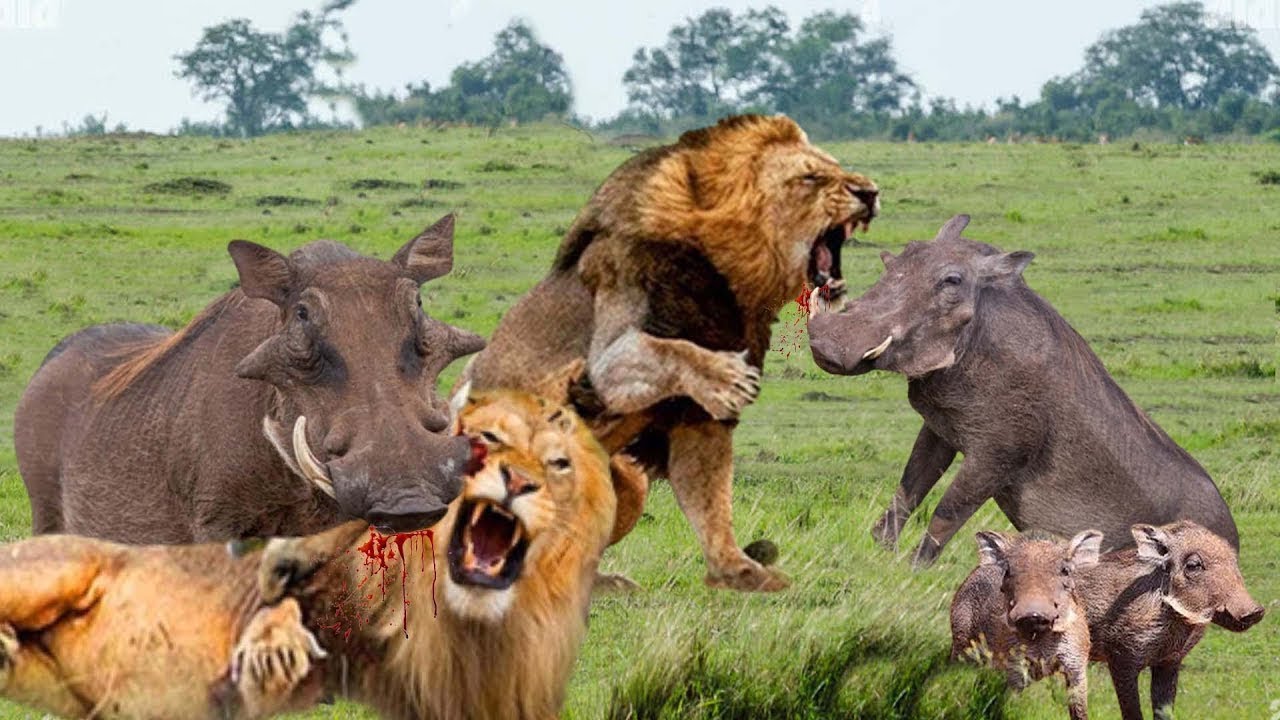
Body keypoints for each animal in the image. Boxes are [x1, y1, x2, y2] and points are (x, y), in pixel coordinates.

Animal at [459, 114, 880, 591]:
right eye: (810, 177)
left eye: (837, 166)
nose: (869, 192)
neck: (734, 278)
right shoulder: (608, 349)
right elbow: (665, 352)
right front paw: (727, 377)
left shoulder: (697, 420)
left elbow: (711, 502)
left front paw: (739, 573)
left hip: (630, 482)